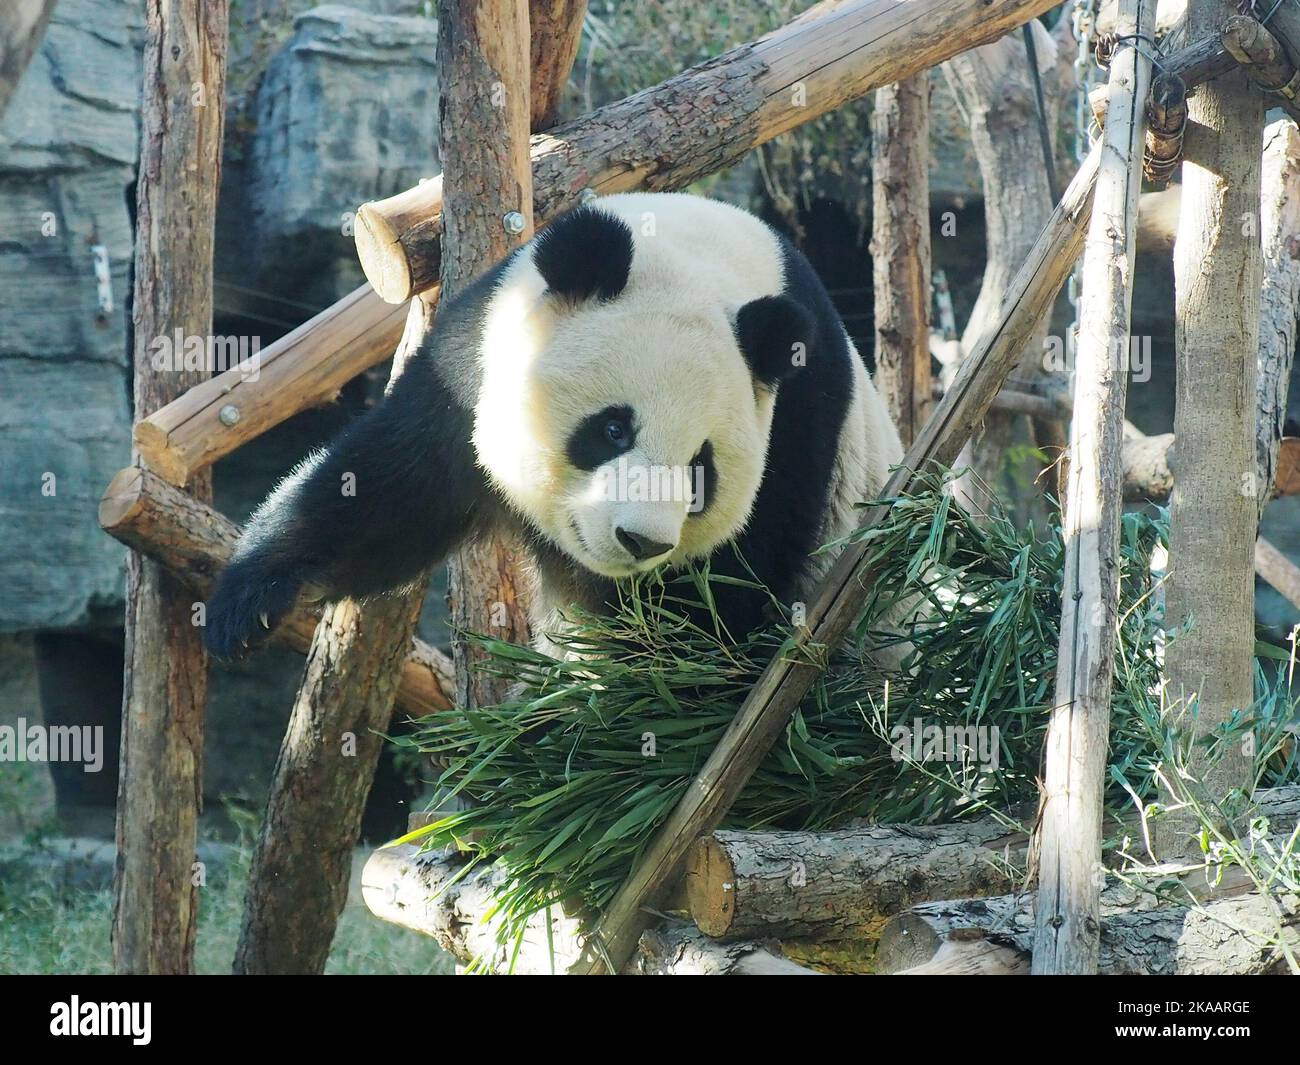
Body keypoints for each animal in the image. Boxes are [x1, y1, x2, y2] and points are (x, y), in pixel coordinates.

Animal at [204, 192, 904, 660]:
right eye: (614, 430)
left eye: (700, 469)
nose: (640, 541)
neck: (694, 255)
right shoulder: (473, 362)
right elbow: (389, 494)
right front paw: (246, 607)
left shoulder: (799, 424)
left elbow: (730, 592)